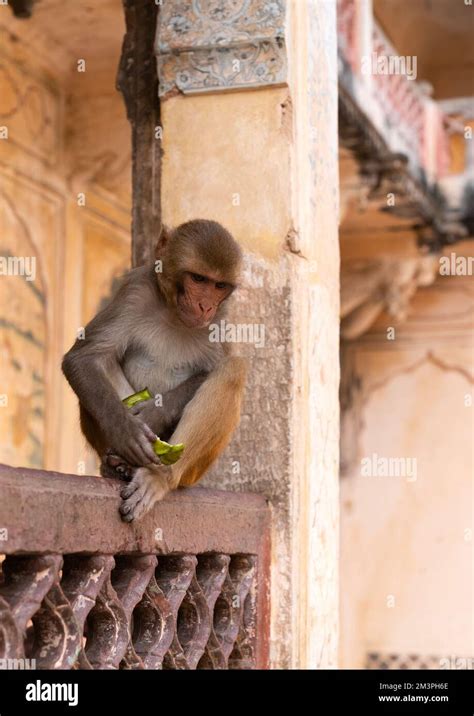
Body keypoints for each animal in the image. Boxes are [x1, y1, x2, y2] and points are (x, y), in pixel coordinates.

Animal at [62, 219, 247, 522]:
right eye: (199, 279)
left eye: (219, 285)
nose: (205, 306)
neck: (174, 313)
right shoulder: (135, 289)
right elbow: (84, 358)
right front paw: (128, 432)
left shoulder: (220, 321)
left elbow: (211, 371)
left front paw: (152, 414)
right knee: (105, 360)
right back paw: (117, 464)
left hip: (195, 472)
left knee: (233, 369)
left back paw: (159, 476)